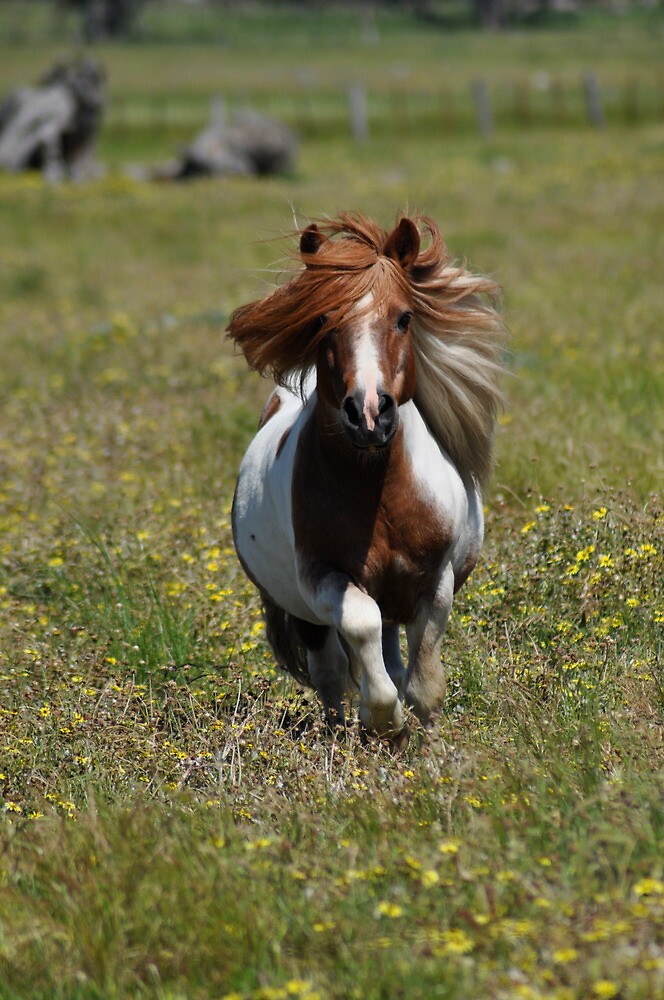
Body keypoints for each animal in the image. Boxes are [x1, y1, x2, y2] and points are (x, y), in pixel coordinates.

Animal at [228, 212, 506, 742]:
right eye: (321, 320)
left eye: (404, 318)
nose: (370, 414)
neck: (381, 496)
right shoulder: (323, 578)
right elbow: (361, 628)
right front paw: (382, 720)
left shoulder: (433, 584)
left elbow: (423, 684)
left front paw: (430, 747)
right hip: (305, 611)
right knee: (331, 673)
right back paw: (339, 735)